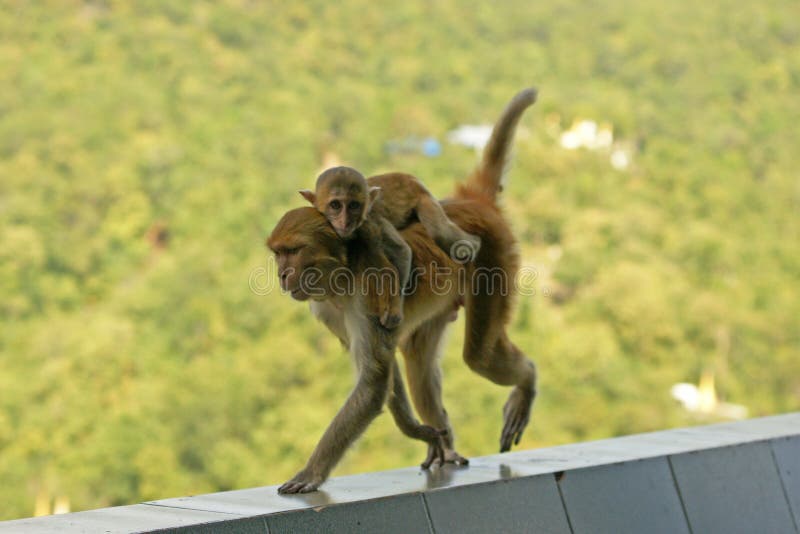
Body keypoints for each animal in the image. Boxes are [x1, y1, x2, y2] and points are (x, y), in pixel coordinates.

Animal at [299, 167, 482, 328]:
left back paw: (475, 243)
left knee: (439, 232)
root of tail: (407, 177)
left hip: (424, 198)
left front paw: (394, 308)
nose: (345, 222)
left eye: (354, 206)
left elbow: (401, 251)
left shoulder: (372, 222)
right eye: (335, 205)